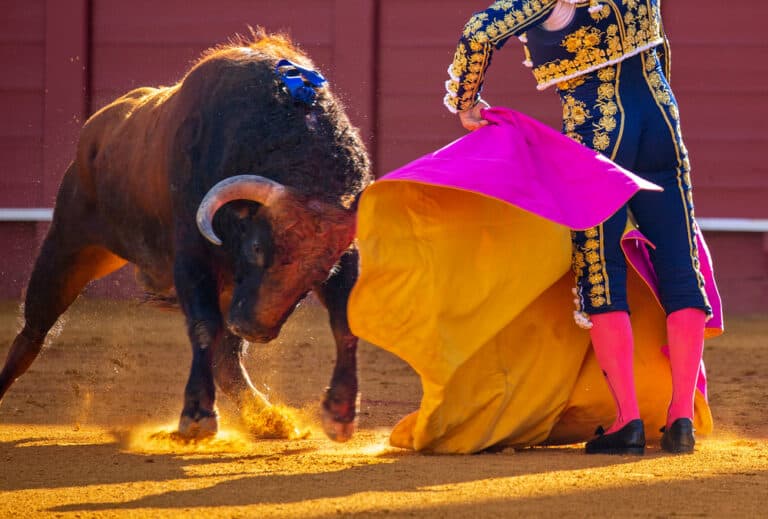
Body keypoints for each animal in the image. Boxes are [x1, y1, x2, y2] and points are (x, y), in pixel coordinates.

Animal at [0, 30, 372, 442]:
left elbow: (345, 325)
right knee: (34, 330)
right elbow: (204, 327)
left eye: (320, 273)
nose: (253, 328)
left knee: (227, 358)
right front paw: (196, 416)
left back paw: (267, 417)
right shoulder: (192, 254)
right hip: (68, 242)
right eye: (257, 247)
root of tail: (96, 130)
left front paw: (340, 412)